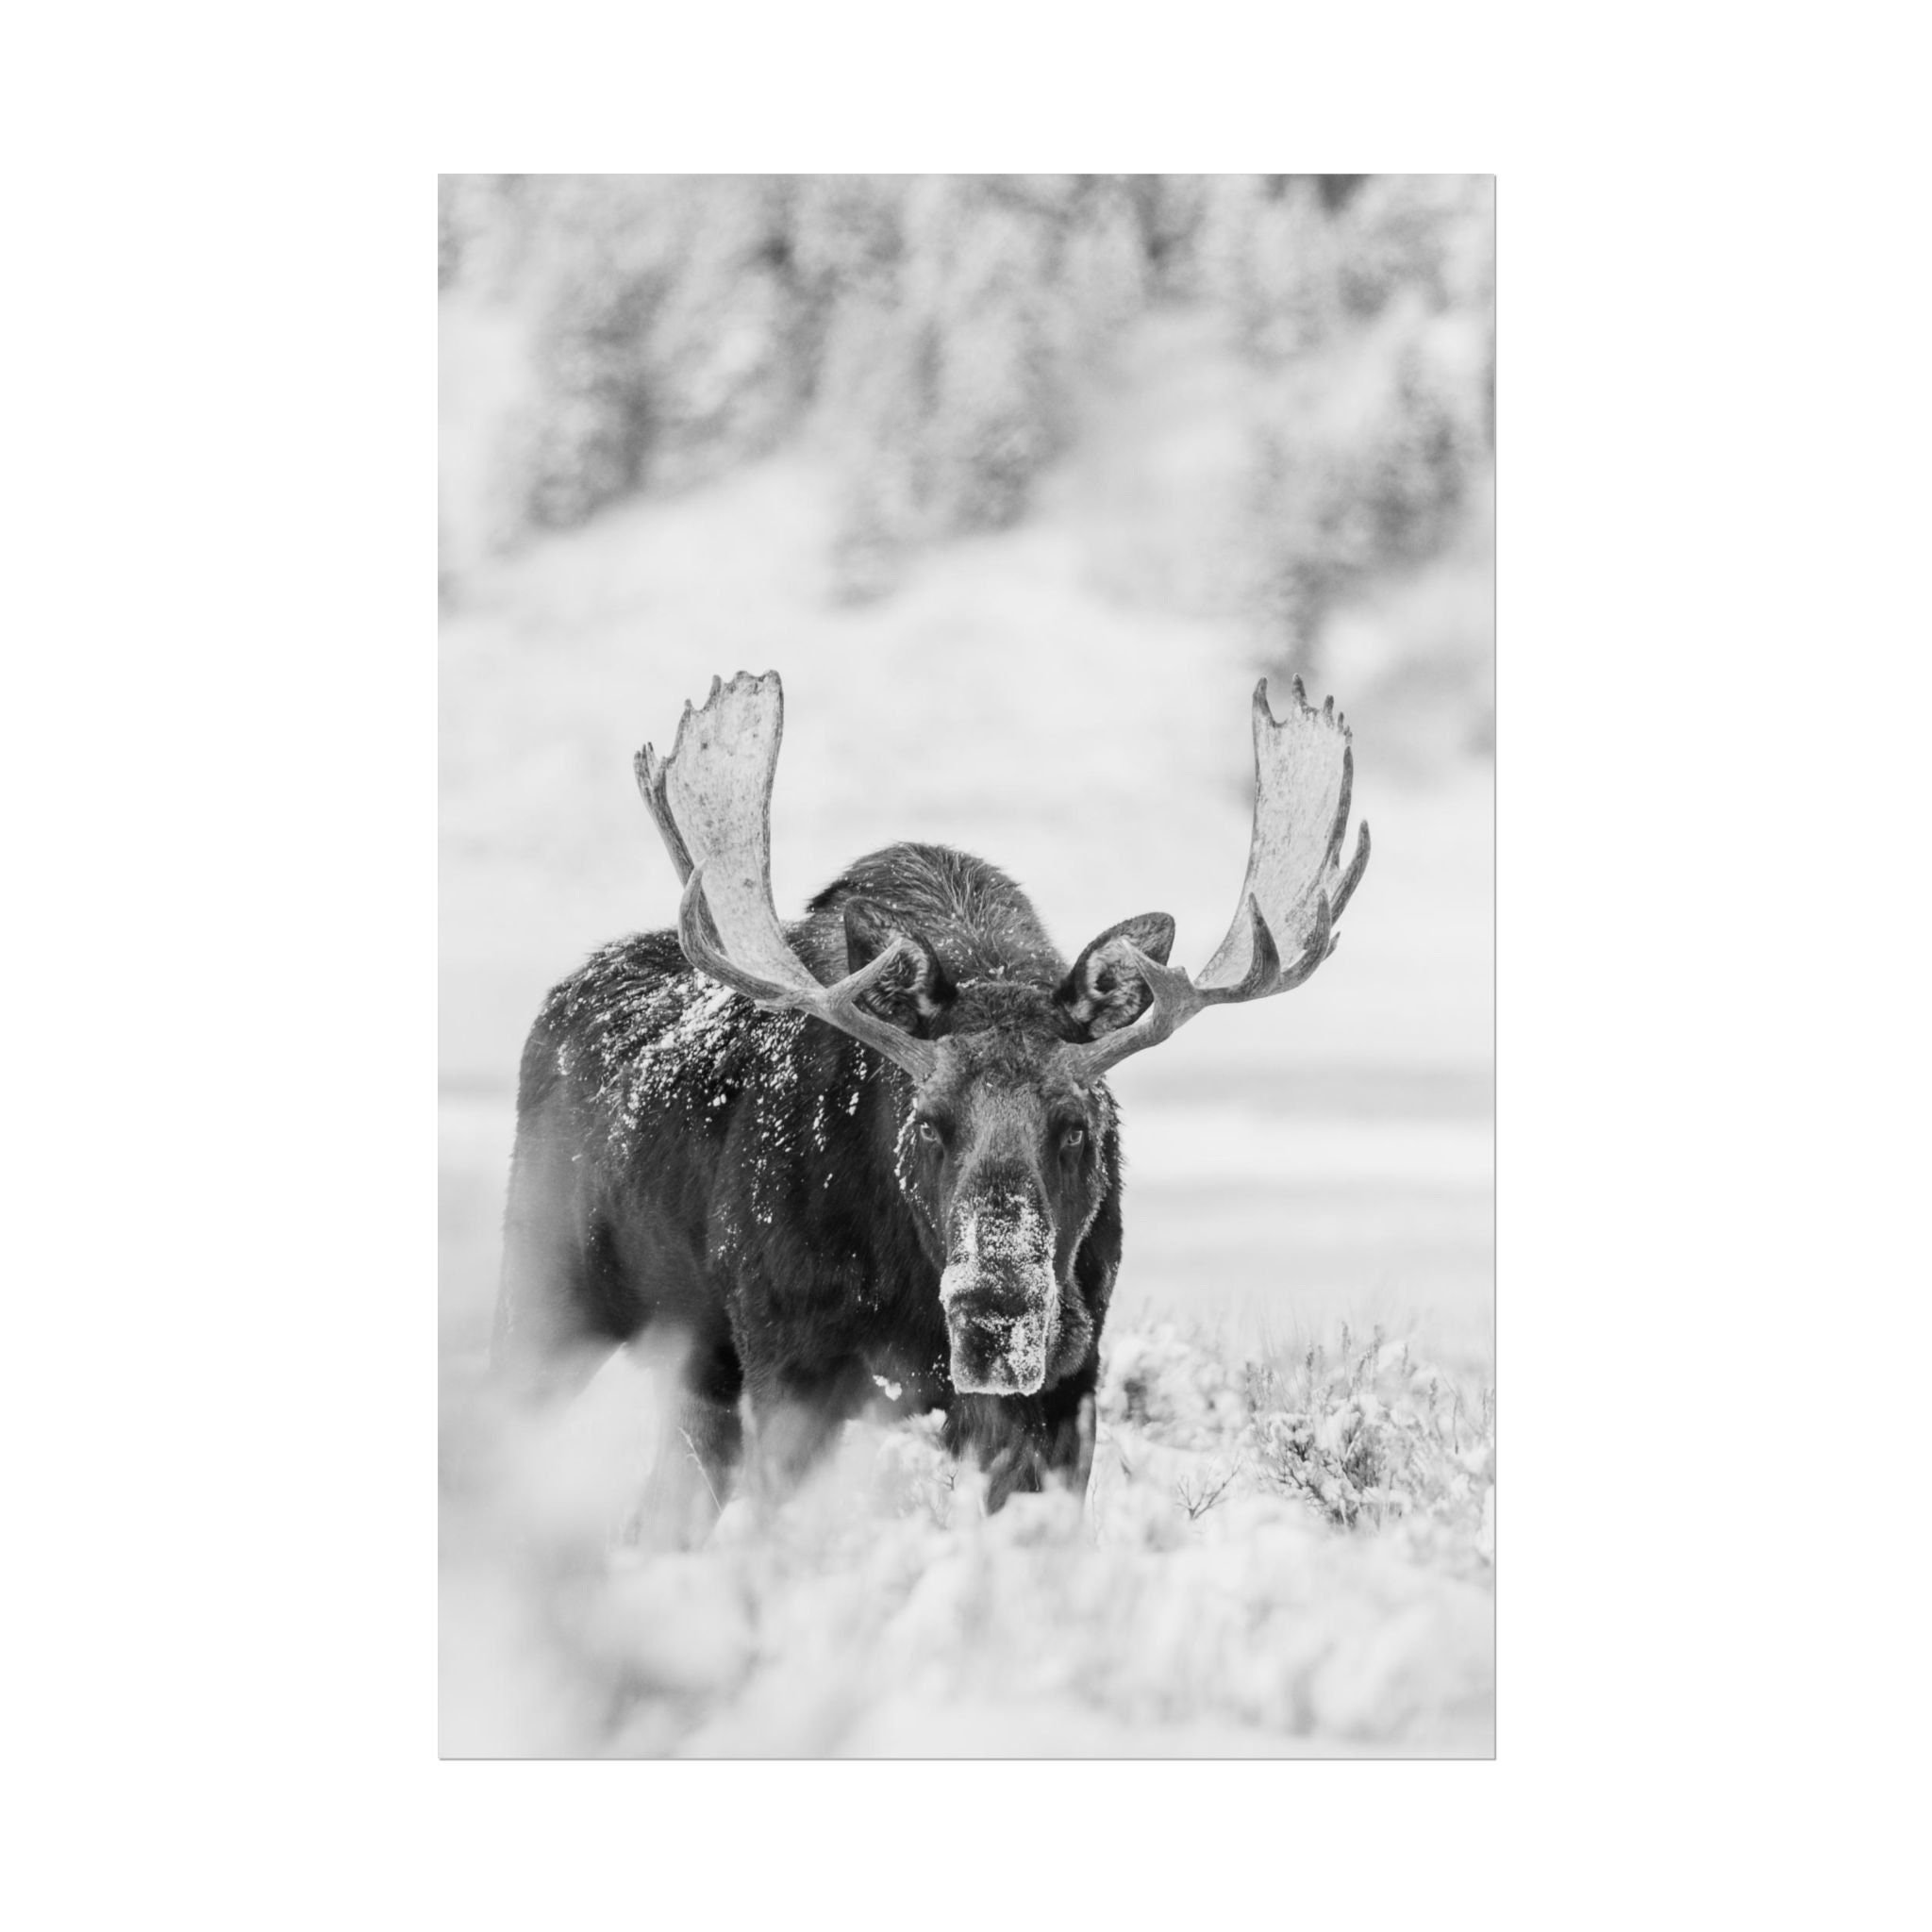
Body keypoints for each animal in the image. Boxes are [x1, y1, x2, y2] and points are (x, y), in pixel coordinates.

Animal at [493, 670, 1369, 1520]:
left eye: (1078, 1126)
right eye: (927, 1124)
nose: (997, 1320)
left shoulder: (1066, 1392)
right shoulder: (790, 1364)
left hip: (698, 1363)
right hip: (551, 1301)